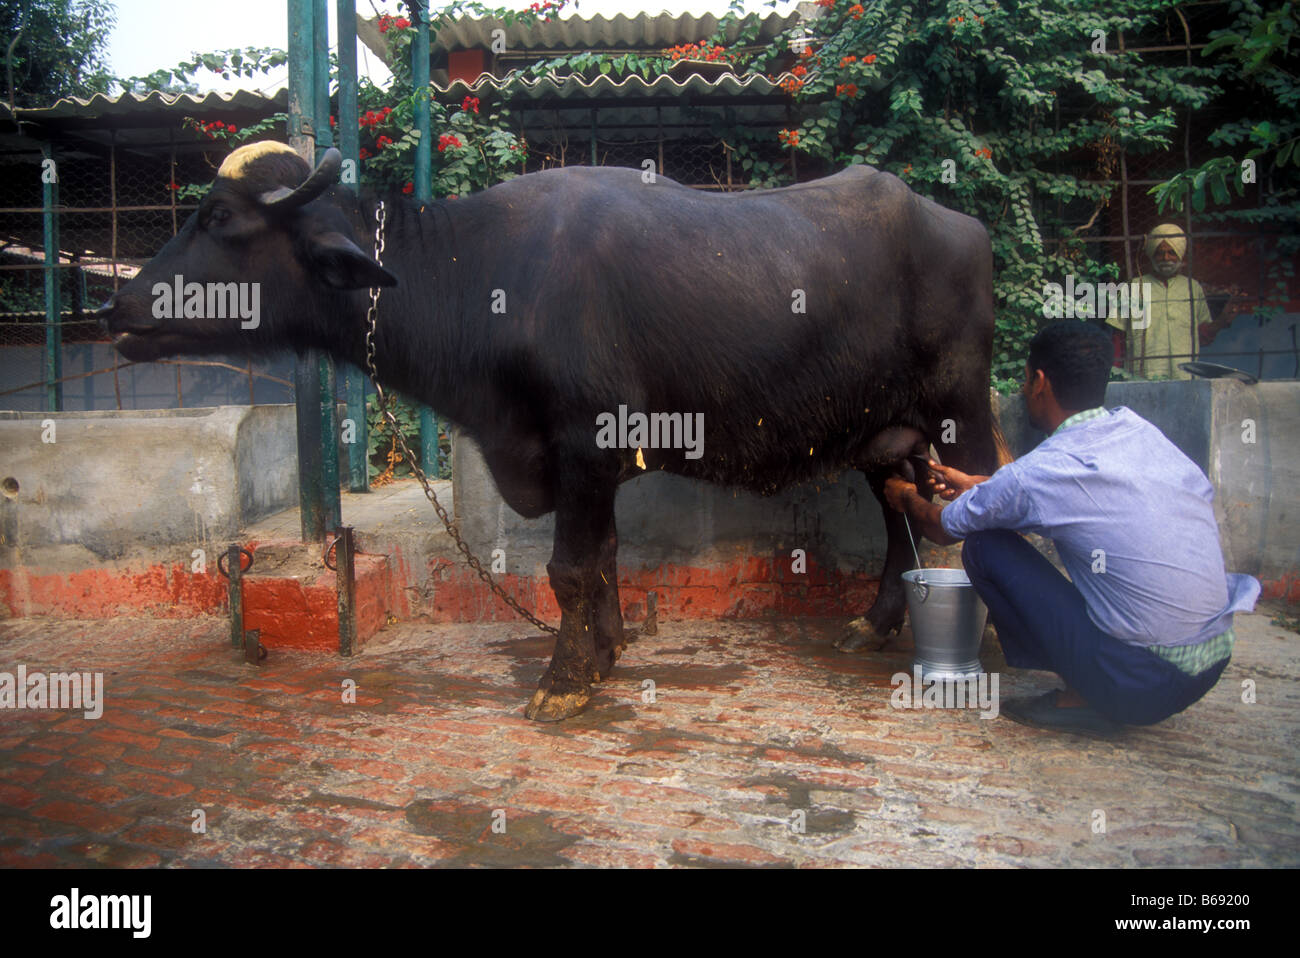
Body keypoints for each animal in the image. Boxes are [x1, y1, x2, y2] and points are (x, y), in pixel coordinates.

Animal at [99, 140, 1008, 721]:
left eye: (218, 216)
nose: (116, 303)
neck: (485, 275)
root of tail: (963, 226)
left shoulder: (585, 444)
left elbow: (570, 568)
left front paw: (564, 682)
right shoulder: (585, 466)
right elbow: (602, 558)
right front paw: (604, 656)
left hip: (960, 409)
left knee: (978, 506)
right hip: (882, 433)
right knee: (897, 515)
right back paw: (873, 623)